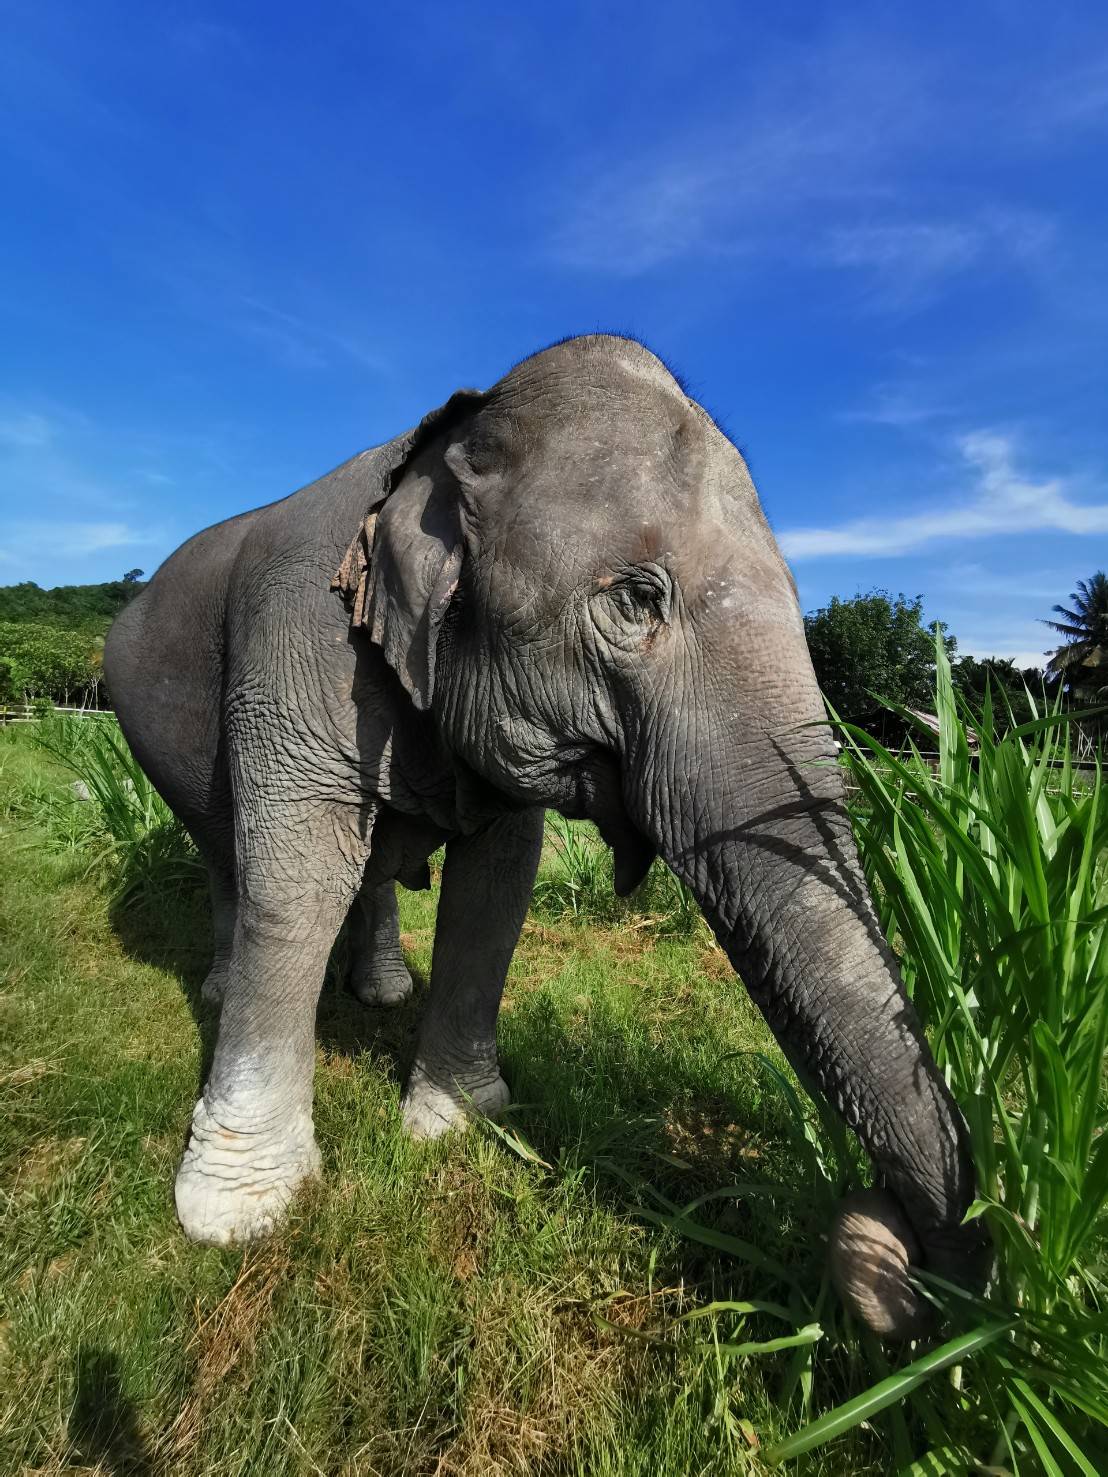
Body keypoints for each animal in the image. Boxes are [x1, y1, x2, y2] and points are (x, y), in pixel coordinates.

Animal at [104, 333, 986, 1336]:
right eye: (637, 599)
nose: (900, 1258)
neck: (451, 435)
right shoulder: (296, 634)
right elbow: (300, 873)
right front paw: (236, 1213)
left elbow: (500, 878)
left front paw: (460, 1123)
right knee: (229, 852)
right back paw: (220, 989)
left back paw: (380, 991)